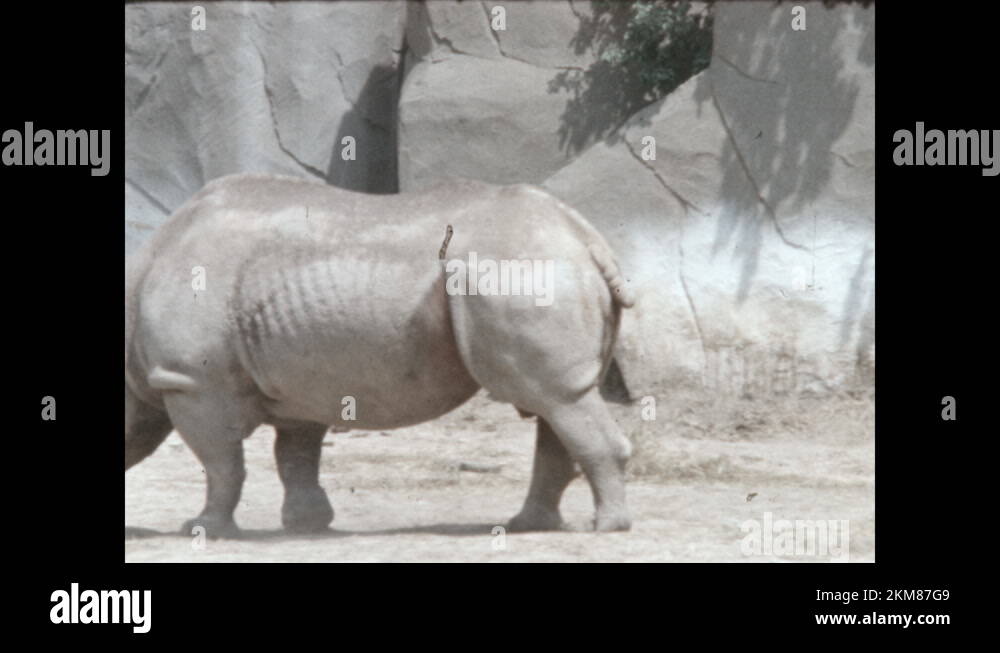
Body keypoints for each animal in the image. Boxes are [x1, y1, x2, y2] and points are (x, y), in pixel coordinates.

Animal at [125, 173, 636, 537]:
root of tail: (584, 237)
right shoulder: (299, 377)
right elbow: (295, 455)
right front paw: (307, 524)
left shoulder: (191, 381)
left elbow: (221, 462)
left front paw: (203, 529)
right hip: (537, 268)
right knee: (557, 403)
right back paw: (529, 525)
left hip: (519, 270)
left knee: (556, 398)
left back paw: (604, 529)